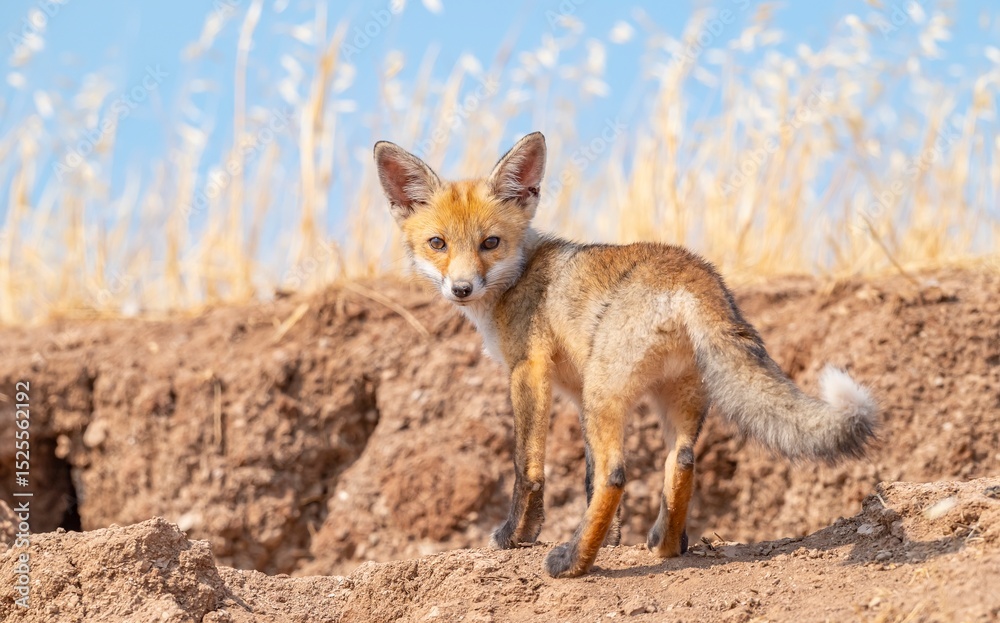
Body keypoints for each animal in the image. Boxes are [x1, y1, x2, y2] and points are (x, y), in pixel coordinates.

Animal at [373, 131, 878, 578]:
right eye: (437, 244)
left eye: (490, 243)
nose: (461, 289)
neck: (519, 278)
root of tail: (692, 274)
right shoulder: (575, 393)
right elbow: (588, 477)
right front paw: (612, 540)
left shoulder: (529, 373)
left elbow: (529, 468)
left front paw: (518, 536)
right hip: (664, 396)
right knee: (680, 462)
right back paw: (666, 544)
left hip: (606, 394)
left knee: (617, 474)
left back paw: (573, 563)